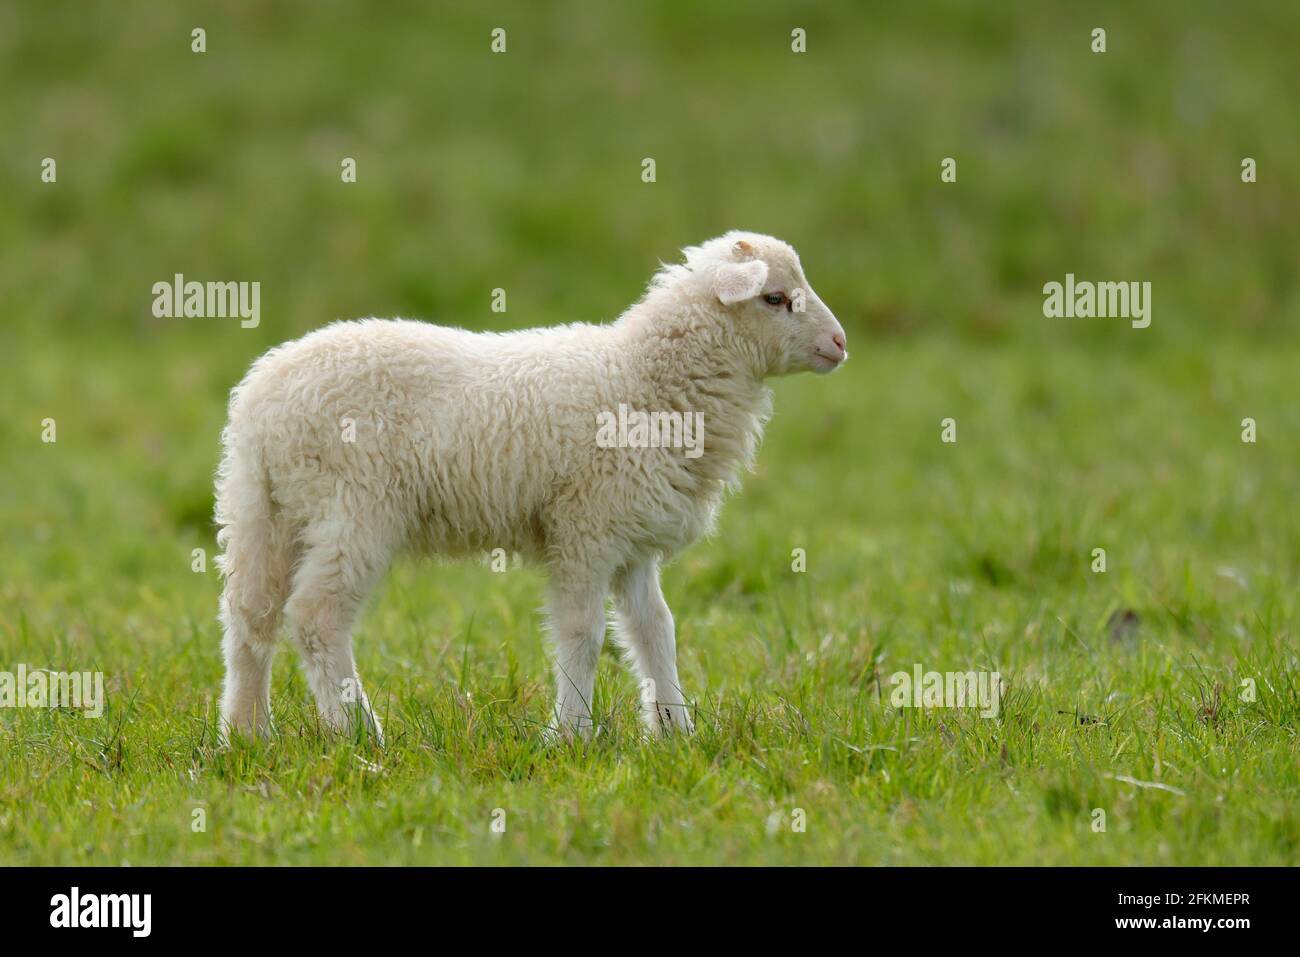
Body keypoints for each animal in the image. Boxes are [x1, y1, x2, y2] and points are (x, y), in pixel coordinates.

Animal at [214, 231, 847, 744]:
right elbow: (583, 633)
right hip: (354, 506)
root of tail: (261, 404)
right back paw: (359, 733)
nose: (840, 344)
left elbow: (655, 632)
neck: (645, 379)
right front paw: (571, 734)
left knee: (249, 615)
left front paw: (674, 731)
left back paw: (247, 734)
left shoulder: (633, 540)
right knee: (316, 616)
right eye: (774, 298)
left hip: (264, 508)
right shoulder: (587, 526)